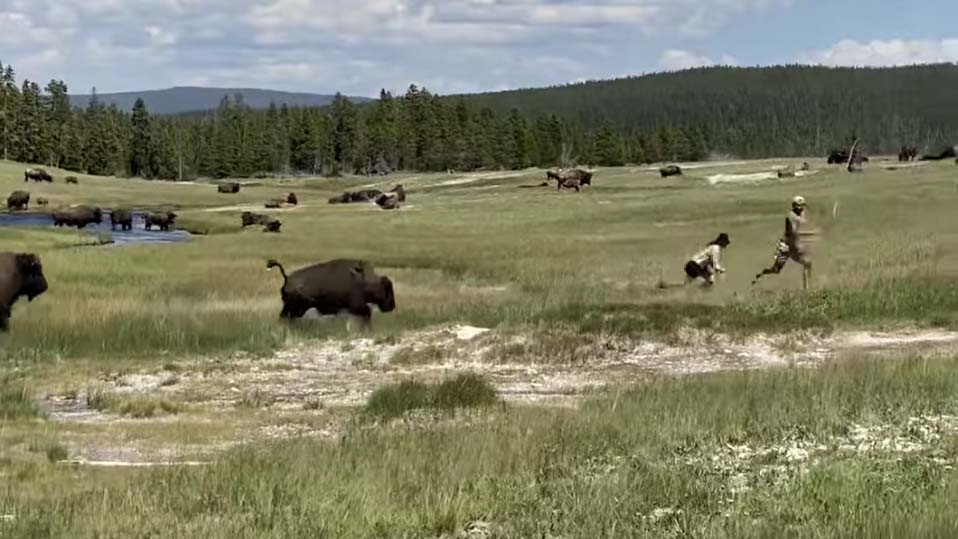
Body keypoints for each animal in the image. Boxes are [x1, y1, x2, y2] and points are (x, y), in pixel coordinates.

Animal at [266, 258, 395, 327]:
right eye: (387, 288)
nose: (392, 306)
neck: (364, 281)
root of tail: (287, 277)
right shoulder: (357, 306)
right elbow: (367, 315)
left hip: (293, 310)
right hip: (295, 309)